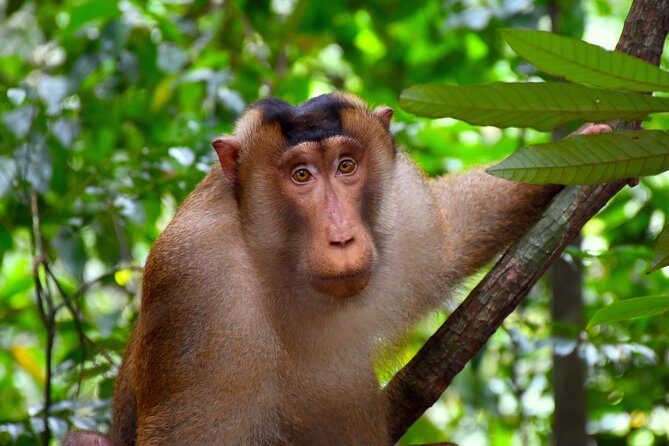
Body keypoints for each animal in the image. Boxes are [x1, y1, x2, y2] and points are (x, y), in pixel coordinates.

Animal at [63, 93, 612, 445]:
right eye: (301, 175)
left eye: (346, 165)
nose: (342, 236)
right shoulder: (196, 283)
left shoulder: (405, 204)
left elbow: (450, 235)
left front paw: (580, 149)